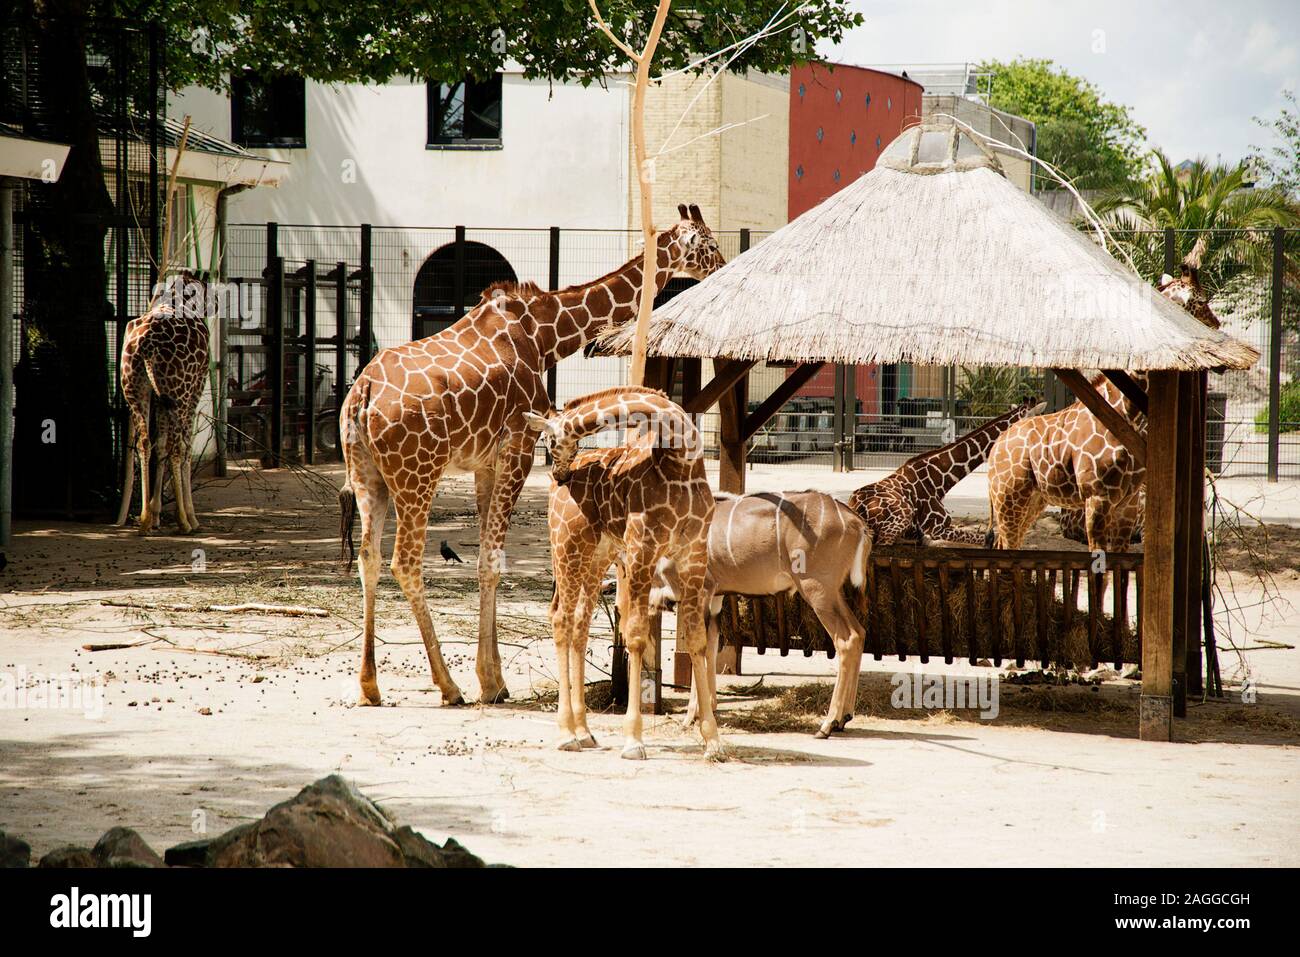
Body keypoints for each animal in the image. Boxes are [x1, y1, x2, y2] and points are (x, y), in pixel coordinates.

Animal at [115, 272, 210, 535]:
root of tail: (148, 344)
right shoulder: (196, 387)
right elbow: (184, 448)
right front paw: (191, 516)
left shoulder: (159, 397)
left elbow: (160, 444)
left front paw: (156, 512)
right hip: (179, 393)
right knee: (177, 447)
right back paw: (184, 521)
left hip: (135, 389)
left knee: (144, 442)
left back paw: (145, 519)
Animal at [338, 205, 724, 707]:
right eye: (709, 244)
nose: (721, 268)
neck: (544, 336)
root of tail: (361, 396)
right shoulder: (519, 446)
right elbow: (490, 560)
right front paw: (491, 682)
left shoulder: (485, 461)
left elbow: (485, 558)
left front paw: (492, 677)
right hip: (417, 474)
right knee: (403, 561)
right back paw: (448, 686)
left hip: (369, 475)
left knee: (367, 558)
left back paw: (369, 685)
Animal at [524, 386, 722, 760]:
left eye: (547, 438)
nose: (559, 474)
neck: (681, 456)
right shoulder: (643, 550)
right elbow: (636, 636)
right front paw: (634, 740)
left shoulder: (694, 554)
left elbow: (698, 641)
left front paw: (713, 741)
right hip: (567, 547)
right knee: (559, 617)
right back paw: (565, 734)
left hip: (596, 557)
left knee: (580, 623)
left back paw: (584, 731)